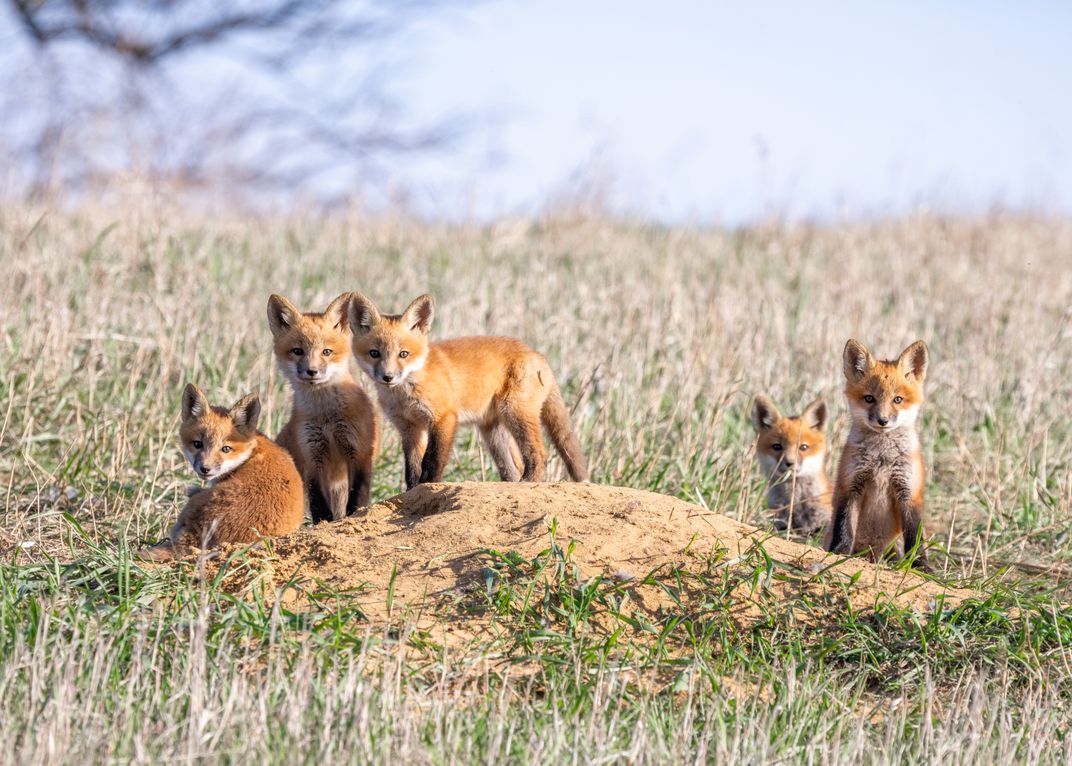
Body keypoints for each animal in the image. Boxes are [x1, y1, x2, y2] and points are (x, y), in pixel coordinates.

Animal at [268, 293, 380, 522]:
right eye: (298, 351)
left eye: (326, 352)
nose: (312, 371)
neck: (327, 418)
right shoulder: (311, 456)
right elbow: (318, 502)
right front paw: (324, 524)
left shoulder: (360, 452)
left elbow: (358, 497)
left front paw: (353, 518)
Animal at [346, 292, 588, 489]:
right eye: (374, 353)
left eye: (403, 354)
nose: (388, 377)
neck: (405, 393)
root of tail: (538, 355)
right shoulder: (409, 428)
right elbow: (412, 468)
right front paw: (412, 491)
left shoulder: (444, 418)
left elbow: (432, 462)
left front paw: (428, 486)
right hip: (493, 432)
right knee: (513, 467)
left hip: (516, 413)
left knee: (539, 454)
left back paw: (528, 482)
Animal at [826, 339, 930, 570]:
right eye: (869, 398)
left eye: (898, 399)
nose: (883, 421)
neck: (882, 459)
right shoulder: (850, 485)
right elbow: (844, 527)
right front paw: (839, 553)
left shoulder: (909, 492)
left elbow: (915, 537)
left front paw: (921, 566)